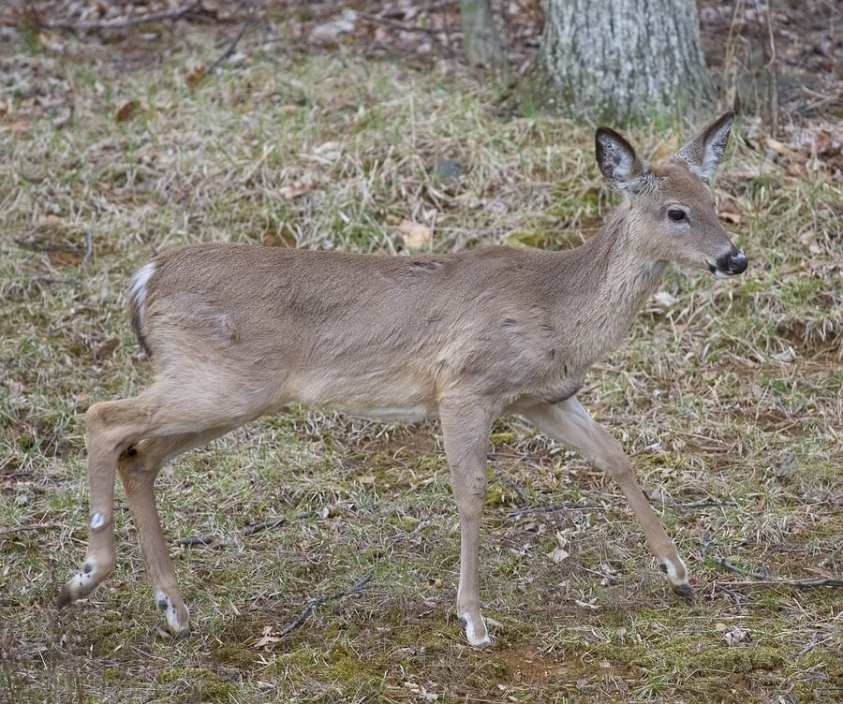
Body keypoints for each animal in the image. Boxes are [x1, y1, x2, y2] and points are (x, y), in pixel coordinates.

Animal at [58, 111, 747, 647]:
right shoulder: (464, 385)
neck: (557, 305)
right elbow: (471, 494)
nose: (734, 258)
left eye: (718, 205)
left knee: (140, 454)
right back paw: (87, 574)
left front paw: (679, 572)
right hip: (221, 380)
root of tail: (146, 278)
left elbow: (616, 457)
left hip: (229, 393)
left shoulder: (539, 396)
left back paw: (172, 608)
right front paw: (473, 620)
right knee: (103, 417)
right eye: (676, 212)